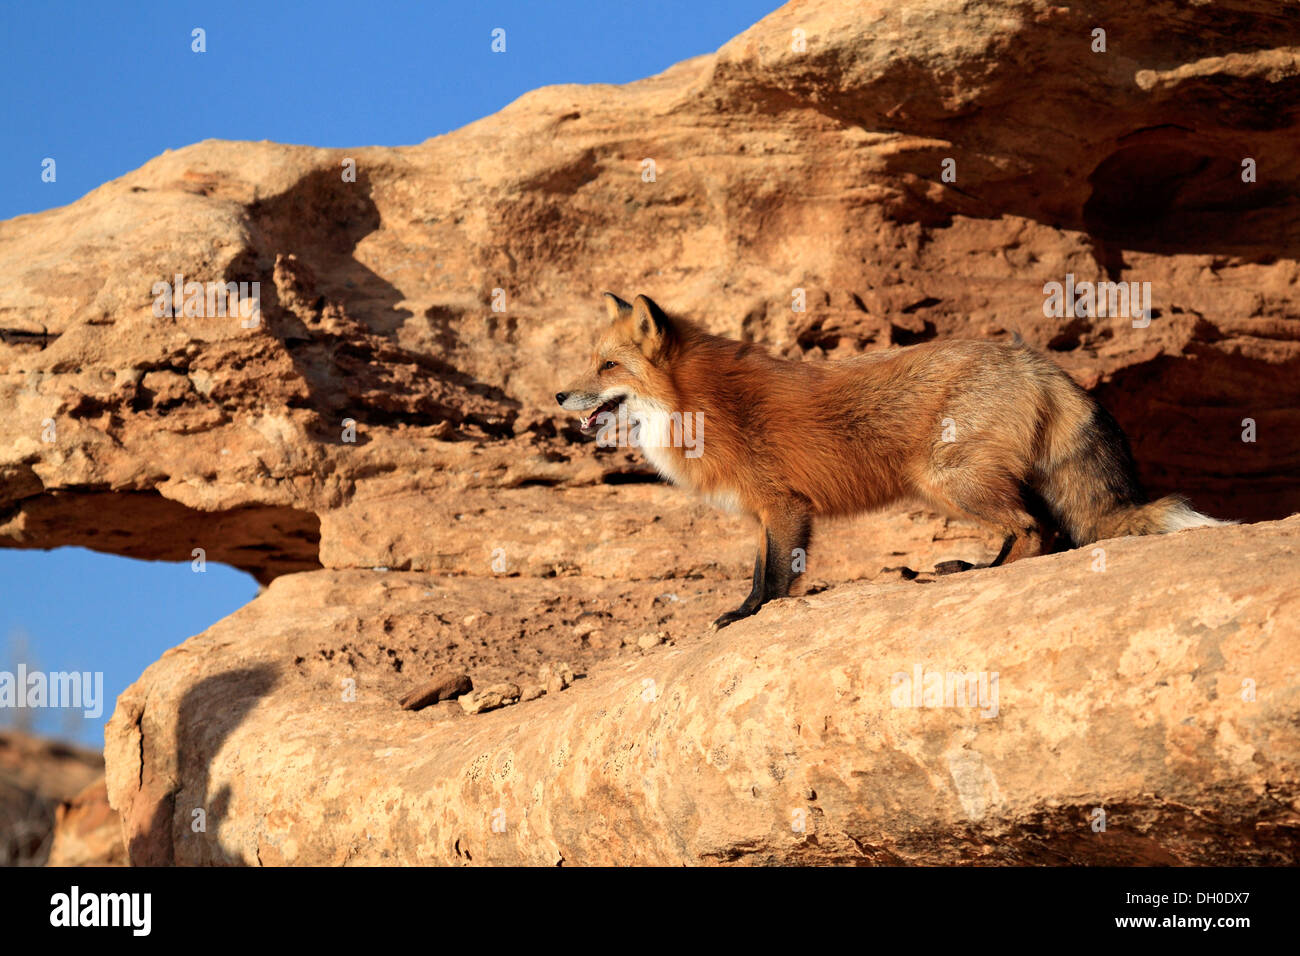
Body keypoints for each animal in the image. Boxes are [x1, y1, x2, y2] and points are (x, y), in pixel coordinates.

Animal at [557, 292, 1230, 629]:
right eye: (592, 363)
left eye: (608, 366)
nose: (559, 397)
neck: (699, 402)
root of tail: (1034, 361)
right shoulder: (768, 513)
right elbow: (758, 570)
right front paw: (748, 609)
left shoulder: (783, 505)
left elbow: (773, 579)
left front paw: (749, 617)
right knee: (1048, 532)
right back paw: (974, 568)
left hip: (950, 480)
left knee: (1037, 531)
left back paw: (977, 573)